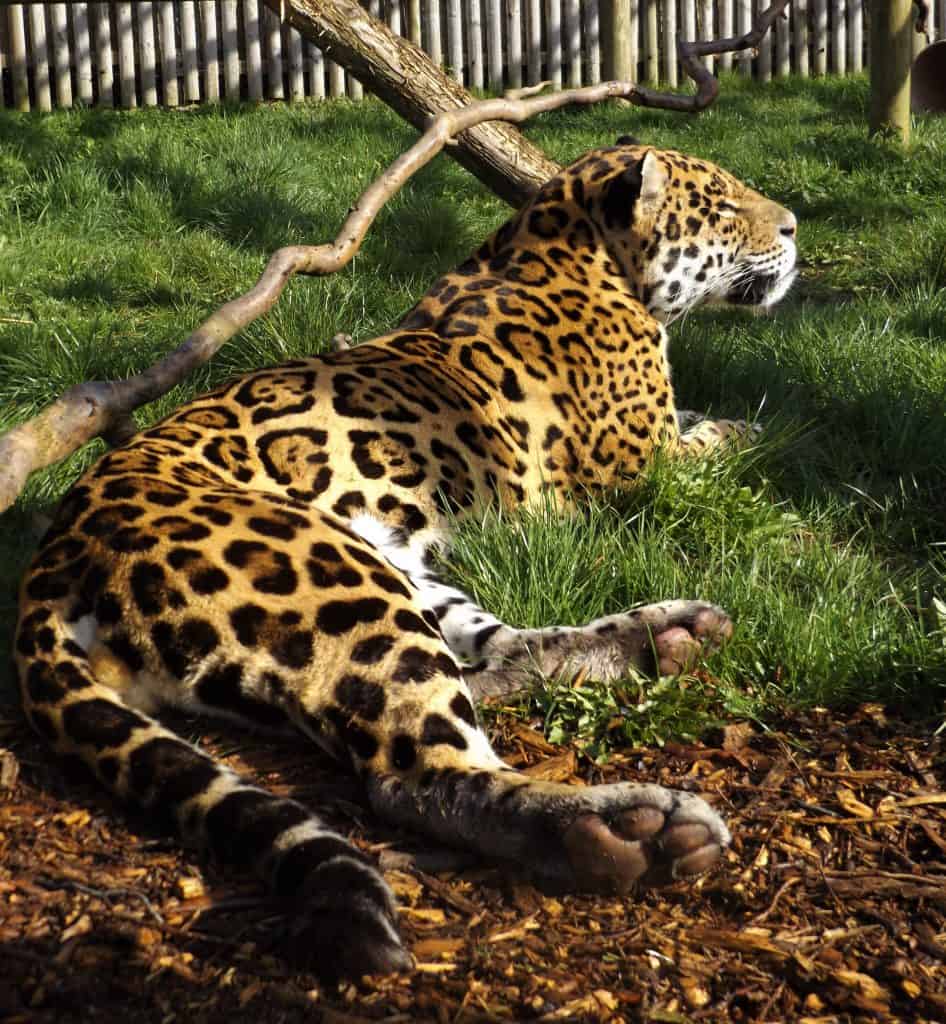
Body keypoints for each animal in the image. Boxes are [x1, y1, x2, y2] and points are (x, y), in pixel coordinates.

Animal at [15, 140, 797, 979]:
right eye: (723, 206)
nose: (792, 225)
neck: (571, 248)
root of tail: (56, 551)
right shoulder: (642, 466)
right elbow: (714, 441)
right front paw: (762, 435)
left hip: (389, 567)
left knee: (499, 657)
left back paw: (665, 637)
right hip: (335, 579)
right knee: (421, 776)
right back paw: (626, 829)